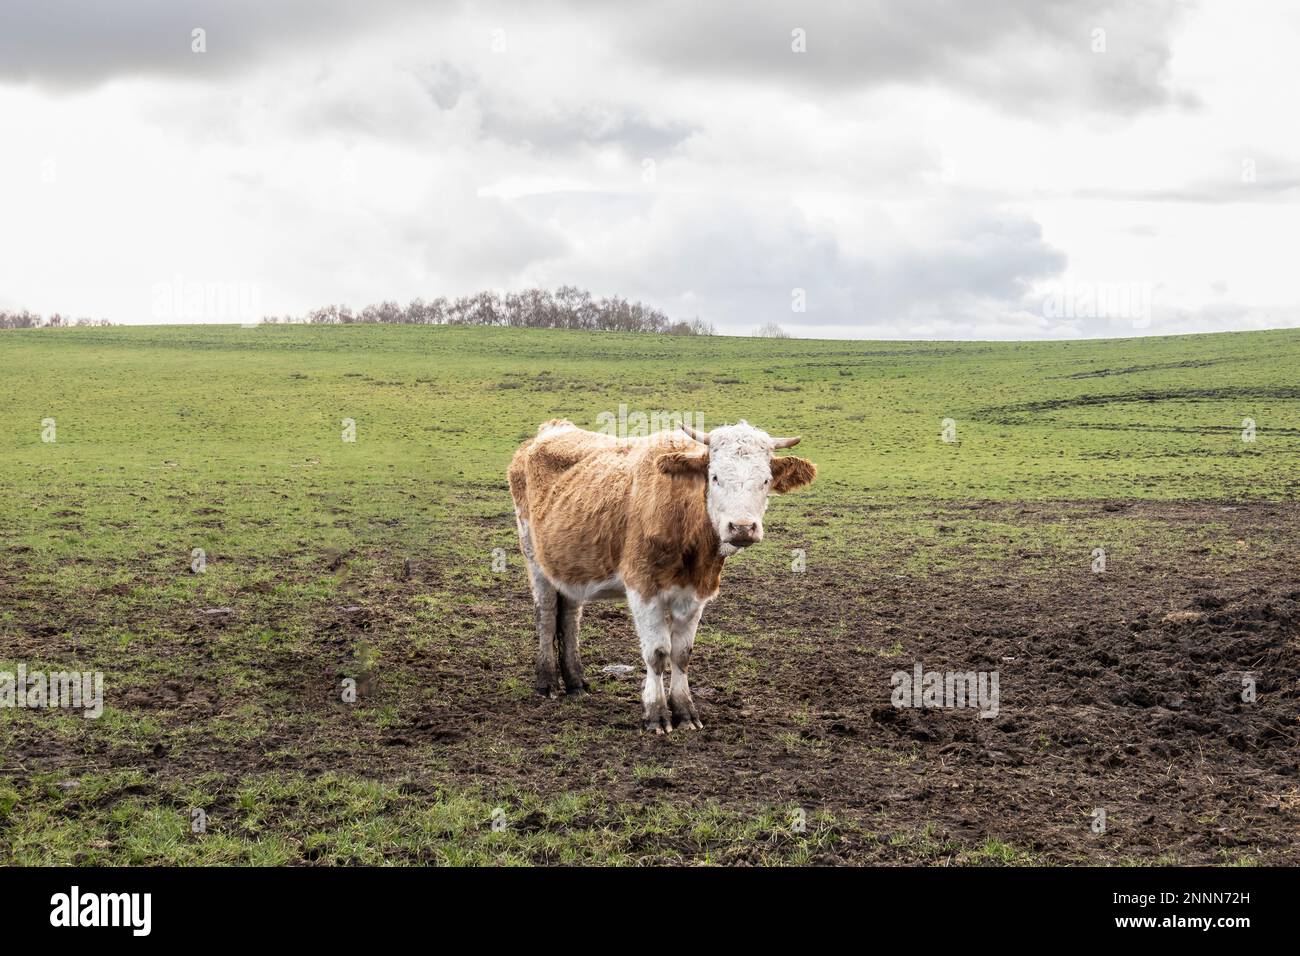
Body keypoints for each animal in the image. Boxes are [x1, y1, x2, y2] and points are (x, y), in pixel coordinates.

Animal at [508, 418, 817, 733]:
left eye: (765, 480)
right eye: (715, 477)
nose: (742, 527)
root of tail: (551, 429)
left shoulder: (695, 592)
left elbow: (681, 654)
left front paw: (684, 711)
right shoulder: (642, 588)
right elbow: (657, 653)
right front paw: (655, 713)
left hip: (571, 566)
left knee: (570, 617)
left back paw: (576, 683)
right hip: (534, 556)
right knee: (547, 615)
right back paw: (546, 682)